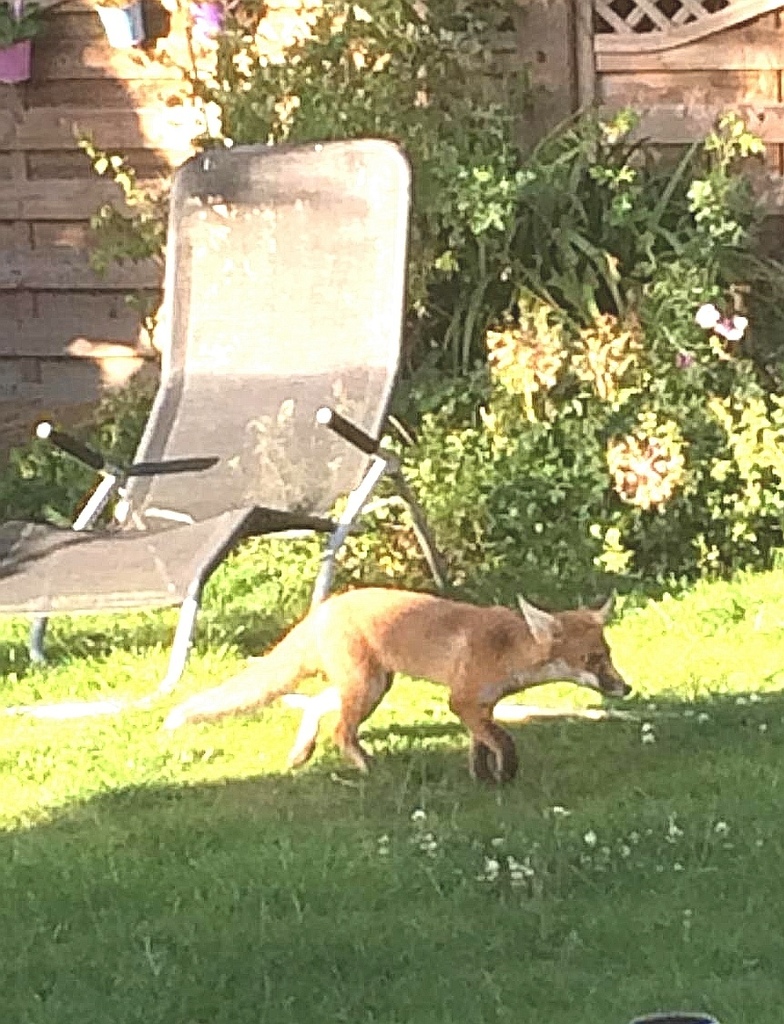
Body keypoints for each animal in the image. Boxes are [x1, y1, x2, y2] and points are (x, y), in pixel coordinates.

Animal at [163, 587, 630, 783]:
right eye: (592, 660)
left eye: (609, 653)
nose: (626, 690)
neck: (508, 649)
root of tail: (322, 608)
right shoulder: (461, 702)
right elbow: (505, 742)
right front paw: (504, 774)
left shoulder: (482, 708)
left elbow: (482, 745)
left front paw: (483, 775)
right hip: (367, 688)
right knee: (340, 731)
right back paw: (369, 770)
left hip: (370, 685)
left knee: (316, 704)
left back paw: (301, 752)